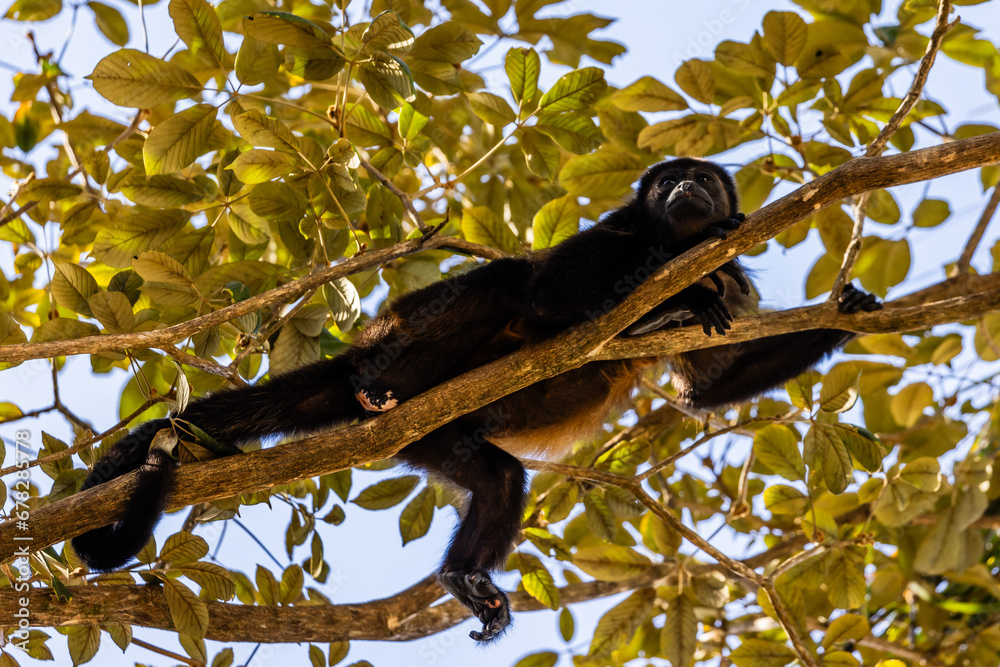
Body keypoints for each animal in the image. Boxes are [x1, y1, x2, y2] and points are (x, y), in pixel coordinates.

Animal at [71, 158, 880, 642]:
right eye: (667, 184)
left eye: (704, 178)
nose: (687, 189)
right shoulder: (616, 232)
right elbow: (551, 291)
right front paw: (665, 294)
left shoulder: (731, 271)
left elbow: (708, 390)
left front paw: (850, 307)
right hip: (402, 348)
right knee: (507, 282)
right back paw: (374, 379)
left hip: (434, 436)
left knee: (498, 478)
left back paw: (464, 575)